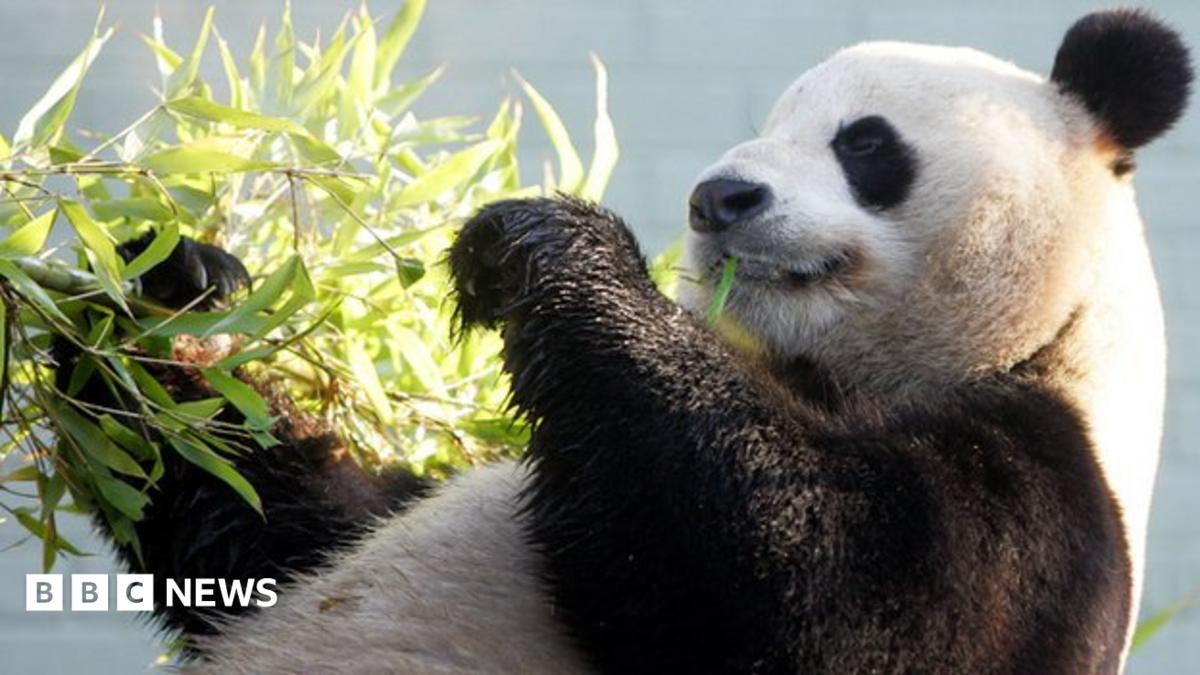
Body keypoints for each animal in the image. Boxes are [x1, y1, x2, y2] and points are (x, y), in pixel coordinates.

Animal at [53, 8, 1191, 675]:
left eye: (865, 142)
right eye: (768, 123)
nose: (720, 197)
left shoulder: (1046, 505)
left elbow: (815, 587)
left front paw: (547, 245)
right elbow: (272, 527)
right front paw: (172, 293)